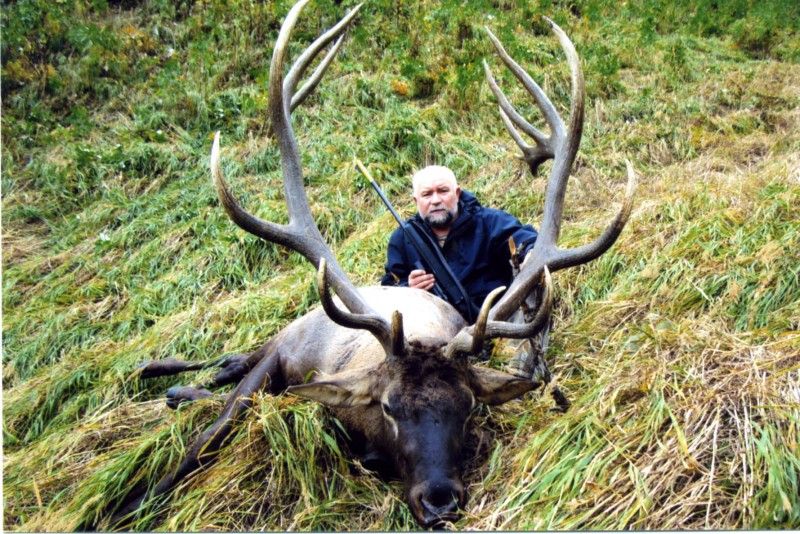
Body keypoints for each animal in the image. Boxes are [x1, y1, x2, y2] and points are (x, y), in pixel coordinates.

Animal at [99, 0, 636, 529]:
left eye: (466, 408)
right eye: (389, 407)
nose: (440, 501)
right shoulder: (287, 360)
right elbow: (206, 440)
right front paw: (125, 505)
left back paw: (176, 388)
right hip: (280, 339)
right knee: (230, 368)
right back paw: (161, 375)